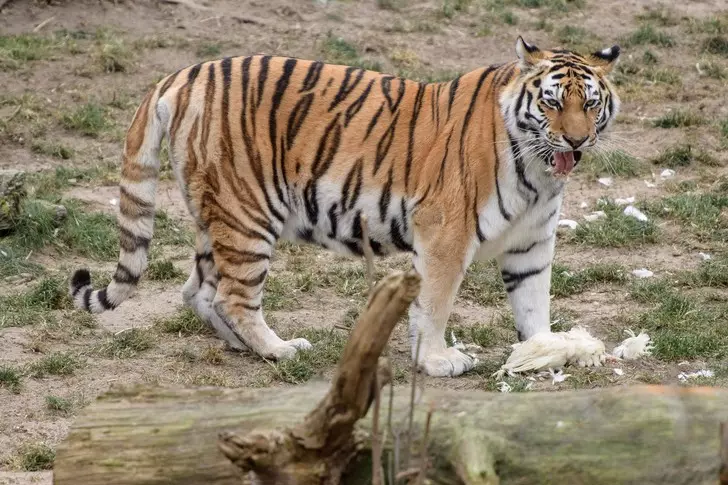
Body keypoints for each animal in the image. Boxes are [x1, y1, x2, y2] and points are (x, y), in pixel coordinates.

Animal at [68, 36, 624, 378]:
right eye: (552, 102)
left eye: (590, 103)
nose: (576, 140)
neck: (537, 174)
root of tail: (181, 75)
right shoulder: (445, 234)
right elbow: (435, 306)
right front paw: (437, 361)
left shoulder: (532, 241)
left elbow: (533, 303)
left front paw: (543, 350)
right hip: (247, 214)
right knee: (233, 295)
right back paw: (278, 349)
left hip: (214, 215)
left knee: (199, 290)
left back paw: (245, 346)